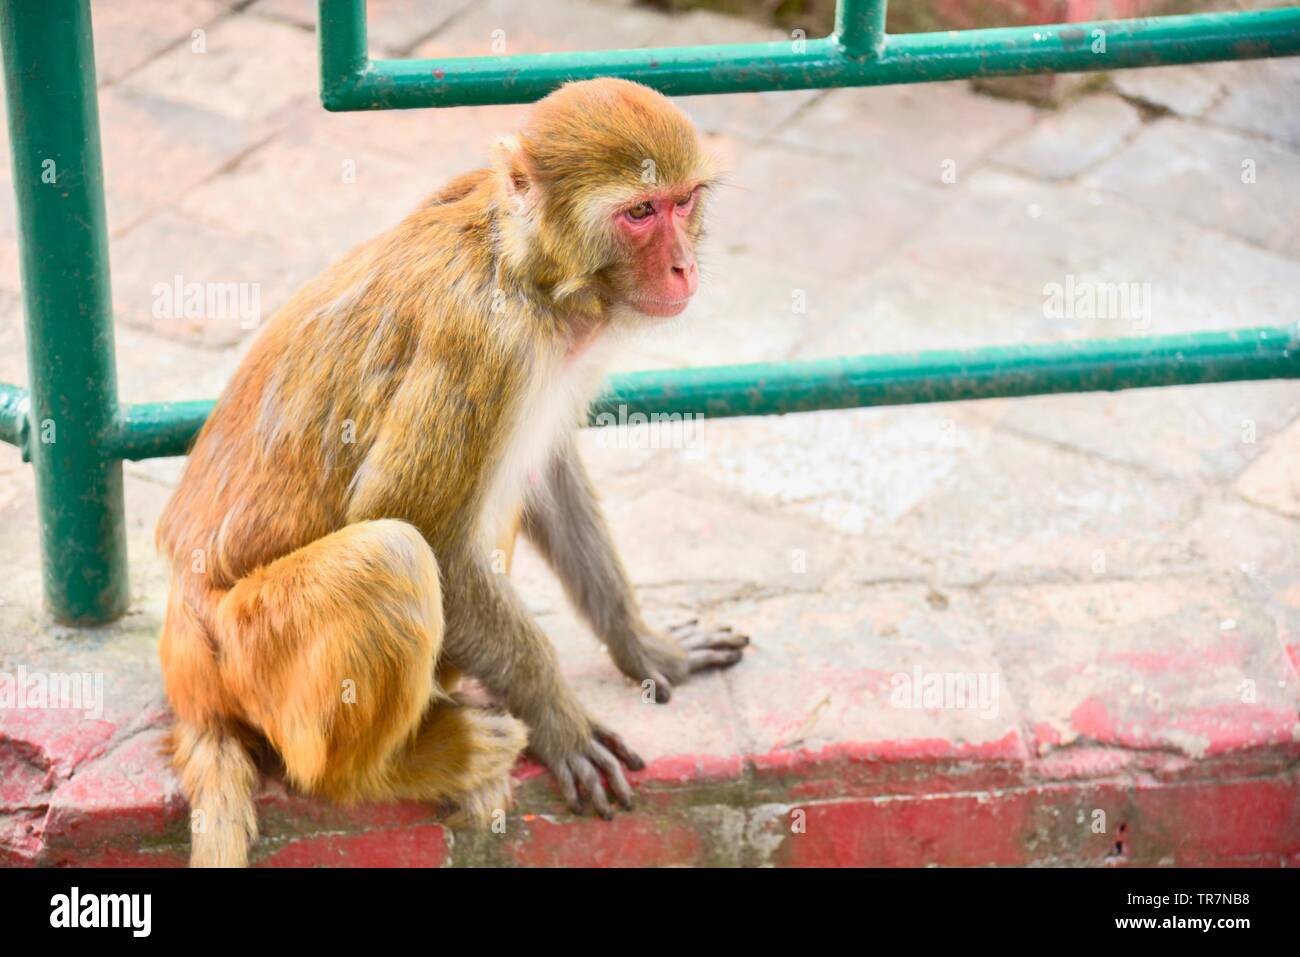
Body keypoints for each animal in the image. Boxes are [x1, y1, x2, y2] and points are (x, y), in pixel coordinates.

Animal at [156, 78, 749, 867]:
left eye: (684, 202)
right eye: (638, 213)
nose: (683, 266)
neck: (532, 275)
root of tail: (184, 648)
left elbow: (546, 471)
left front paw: (644, 646)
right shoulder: (487, 344)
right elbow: (422, 526)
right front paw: (559, 718)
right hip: (249, 657)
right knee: (393, 554)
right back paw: (397, 767)